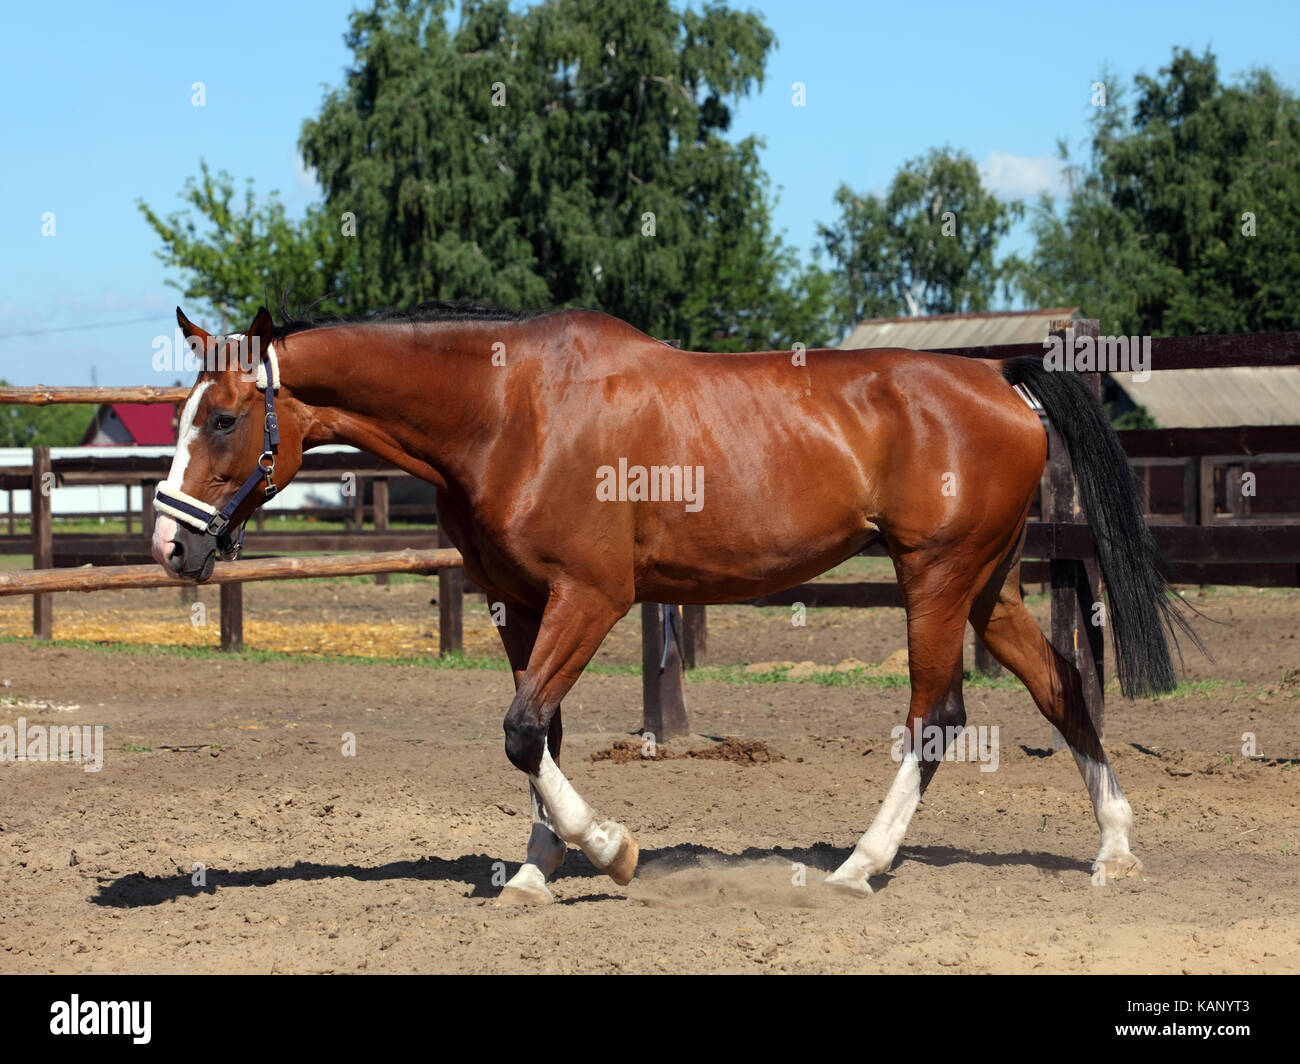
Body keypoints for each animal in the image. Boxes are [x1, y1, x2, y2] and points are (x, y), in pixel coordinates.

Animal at [151, 302, 1197, 903]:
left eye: (224, 417)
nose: (172, 545)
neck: (509, 413)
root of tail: (1001, 379)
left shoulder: (593, 596)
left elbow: (522, 730)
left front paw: (611, 850)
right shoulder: (518, 604)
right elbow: (540, 734)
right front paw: (533, 873)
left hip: (934, 579)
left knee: (934, 717)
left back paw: (858, 868)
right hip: (986, 588)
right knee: (1062, 689)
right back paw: (1114, 852)